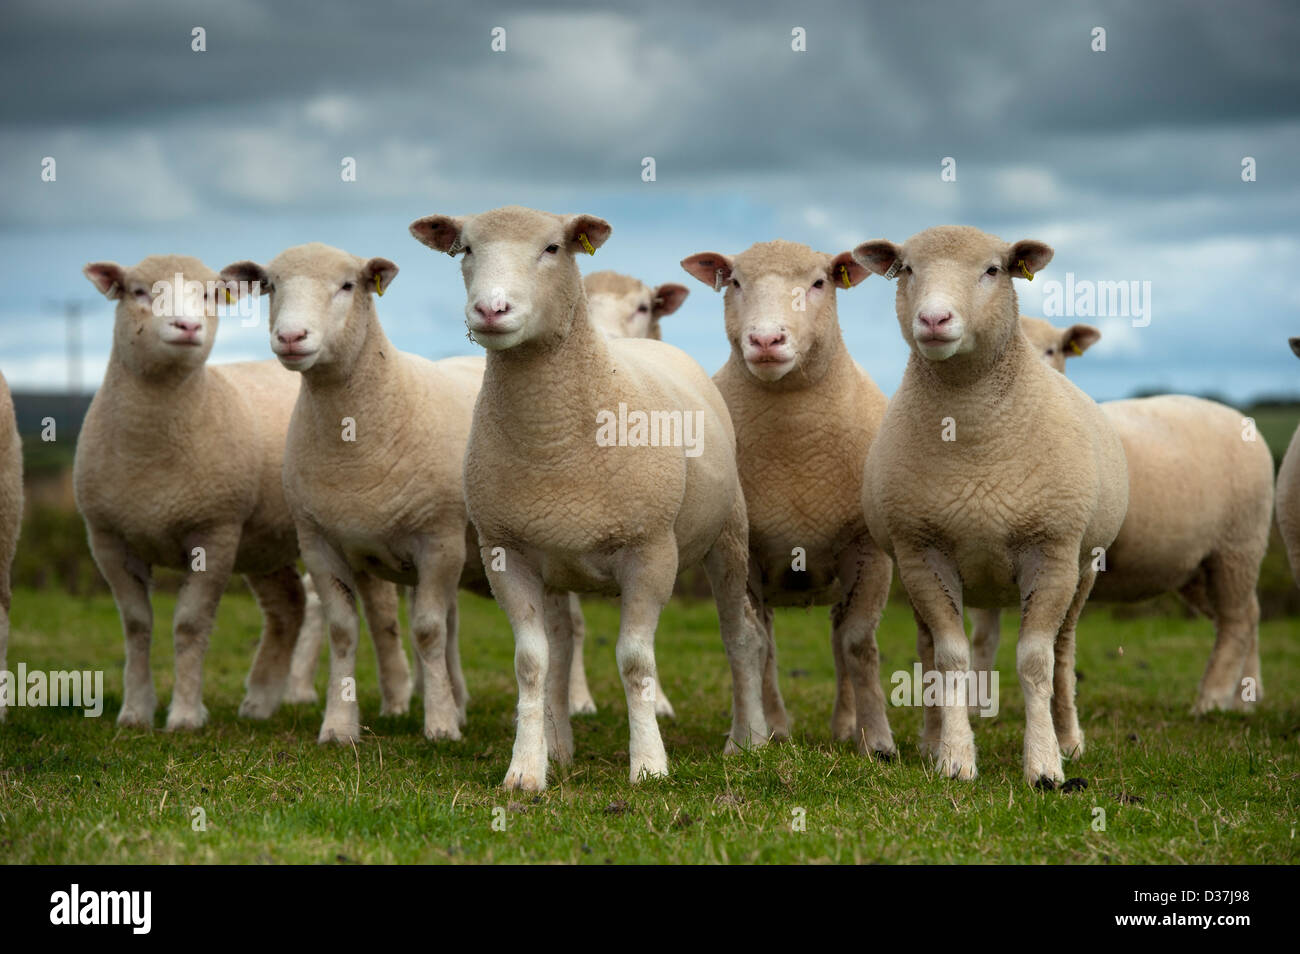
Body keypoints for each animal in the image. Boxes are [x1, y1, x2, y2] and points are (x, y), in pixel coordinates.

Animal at [74, 255, 306, 729]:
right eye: (139, 292)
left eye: (211, 295)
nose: (187, 326)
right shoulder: (107, 538)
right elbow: (136, 625)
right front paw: (135, 712)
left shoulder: (214, 532)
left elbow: (189, 625)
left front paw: (184, 715)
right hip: (265, 541)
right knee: (289, 606)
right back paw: (260, 701)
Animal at [221, 244, 486, 744]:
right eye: (270, 285)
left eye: (347, 285)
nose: (291, 336)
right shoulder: (321, 543)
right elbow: (343, 631)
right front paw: (339, 726)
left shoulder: (439, 541)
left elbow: (427, 631)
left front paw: (440, 725)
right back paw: (462, 703)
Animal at [680, 240, 895, 756]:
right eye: (735, 282)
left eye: (819, 282)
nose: (765, 340)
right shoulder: (738, 547)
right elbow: (753, 643)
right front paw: (750, 736)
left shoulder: (869, 548)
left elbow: (858, 644)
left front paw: (876, 741)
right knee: (772, 645)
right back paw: (777, 725)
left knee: (839, 638)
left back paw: (845, 724)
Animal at [852, 227, 1129, 786]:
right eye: (907, 269)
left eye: (993, 270)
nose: (934, 319)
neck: (974, 433)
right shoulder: (922, 551)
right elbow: (950, 658)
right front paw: (954, 756)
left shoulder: (1052, 550)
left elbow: (1036, 662)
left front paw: (1044, 764)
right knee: (928, 650)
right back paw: (931, 739)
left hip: (1084, 568)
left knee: (1064, 651)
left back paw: (1070, 737)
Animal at [974, 320, 1272, 714]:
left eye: (1054, 350)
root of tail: (1240, 417)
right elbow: (983, 636)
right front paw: (976, 707)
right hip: (1198, 564)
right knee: (1244, 615)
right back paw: (1244, 699)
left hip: (1238, 544)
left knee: (1237, 621)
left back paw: (1211, 700)